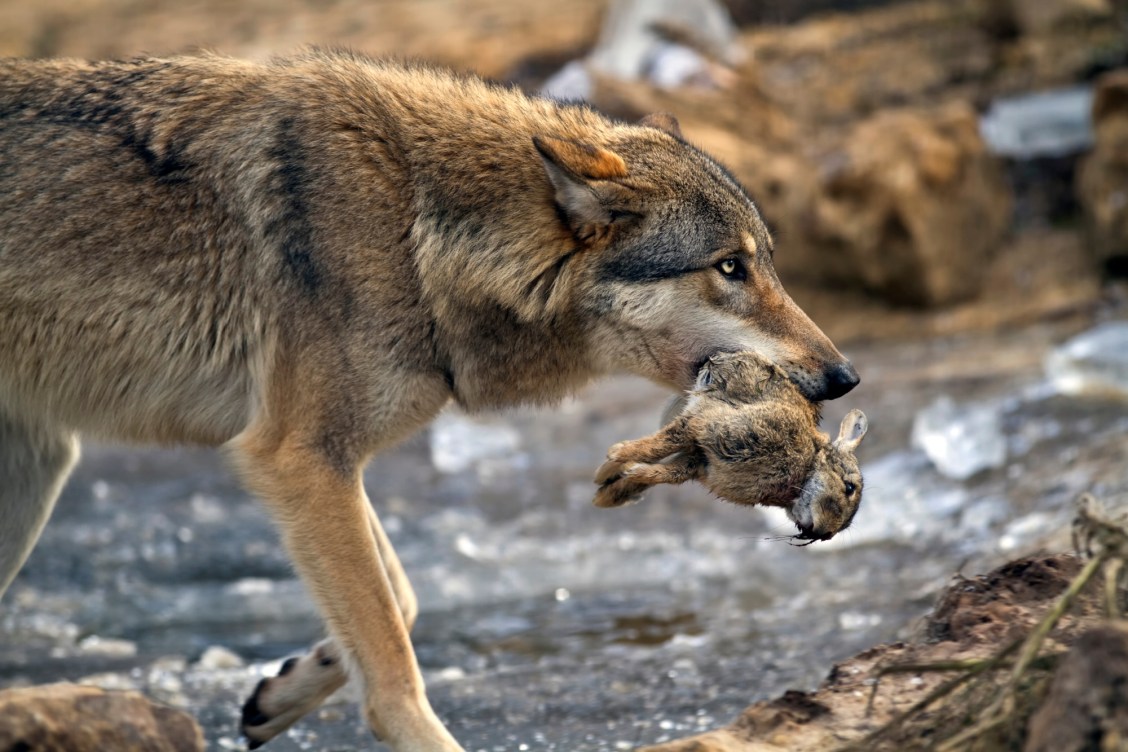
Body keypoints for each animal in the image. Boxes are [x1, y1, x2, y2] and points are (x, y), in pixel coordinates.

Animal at [0, 50, 858, 750]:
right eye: (728, 268)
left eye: (767, 261)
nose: (845, 377)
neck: (417, 227)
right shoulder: (297, 457)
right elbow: (393, 670)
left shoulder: (323, 468)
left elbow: (400, 601)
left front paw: (289, 685)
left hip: (39, 464)